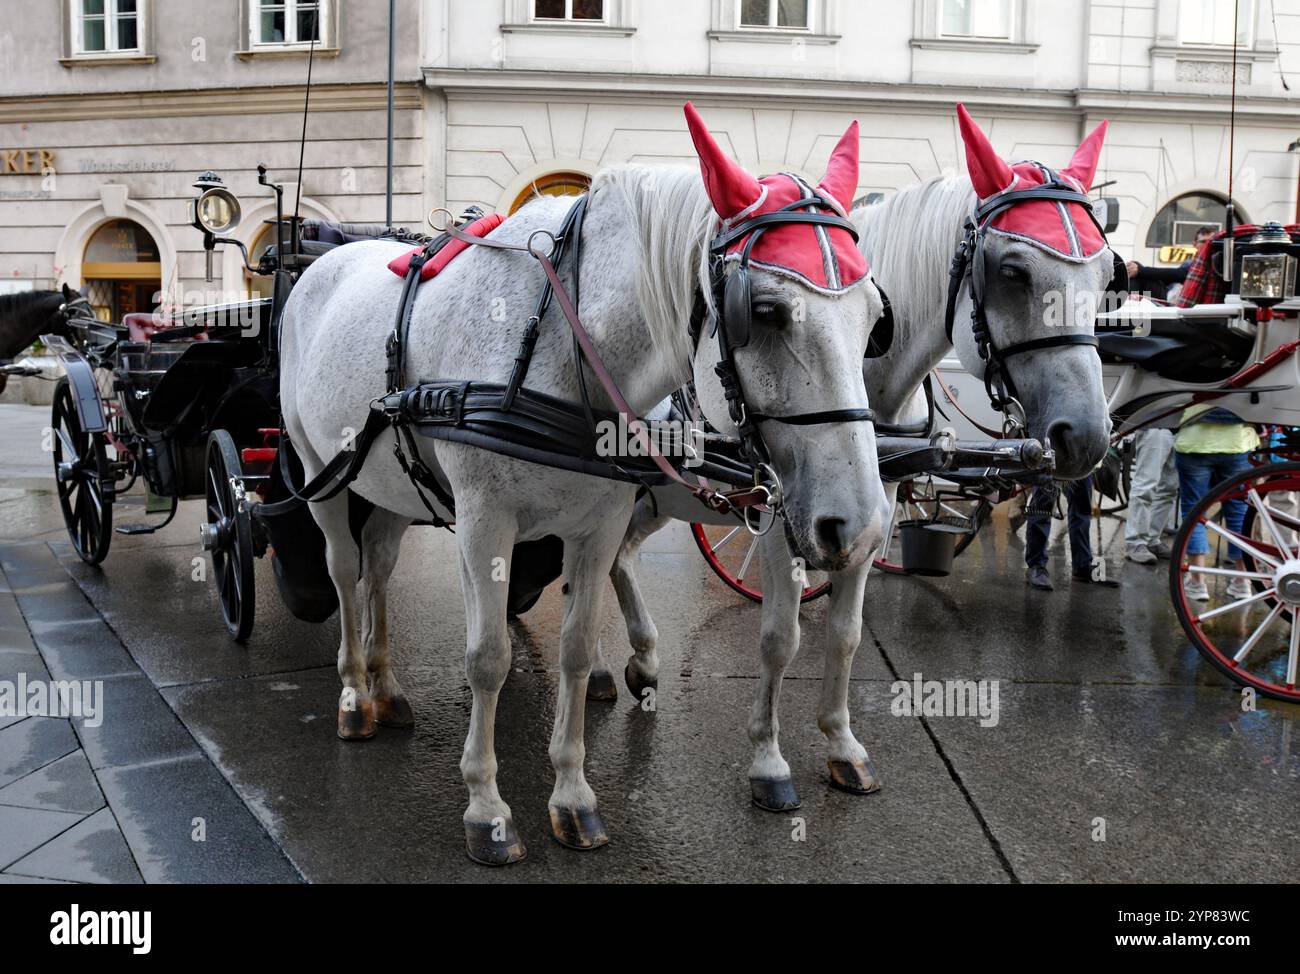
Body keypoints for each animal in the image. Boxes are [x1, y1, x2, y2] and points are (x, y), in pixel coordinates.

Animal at [277, 103, 890, 864]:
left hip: (395, 482)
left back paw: (388, 687)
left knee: (380, 569)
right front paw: (487, 808)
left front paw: (572, 795)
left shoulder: (599, 524)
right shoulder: (484, 523)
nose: (862, 525)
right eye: (768, 312)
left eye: (874, 319)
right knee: (342, 569)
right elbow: (489, 657)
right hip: (321, 475)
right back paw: (356, 695)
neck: (560, 345)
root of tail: (319, 265)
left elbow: (573, 649)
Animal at [589, 105, 1117, 812]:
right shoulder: (780, 517)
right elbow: (780, 639)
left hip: (659, 495)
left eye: (1108, 277)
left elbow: (845, 634)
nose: (1087, 436)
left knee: (616, 559)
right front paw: (768, 760)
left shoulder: (870, 517)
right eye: (1013, 272)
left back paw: (636, 660)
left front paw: (841, 746)